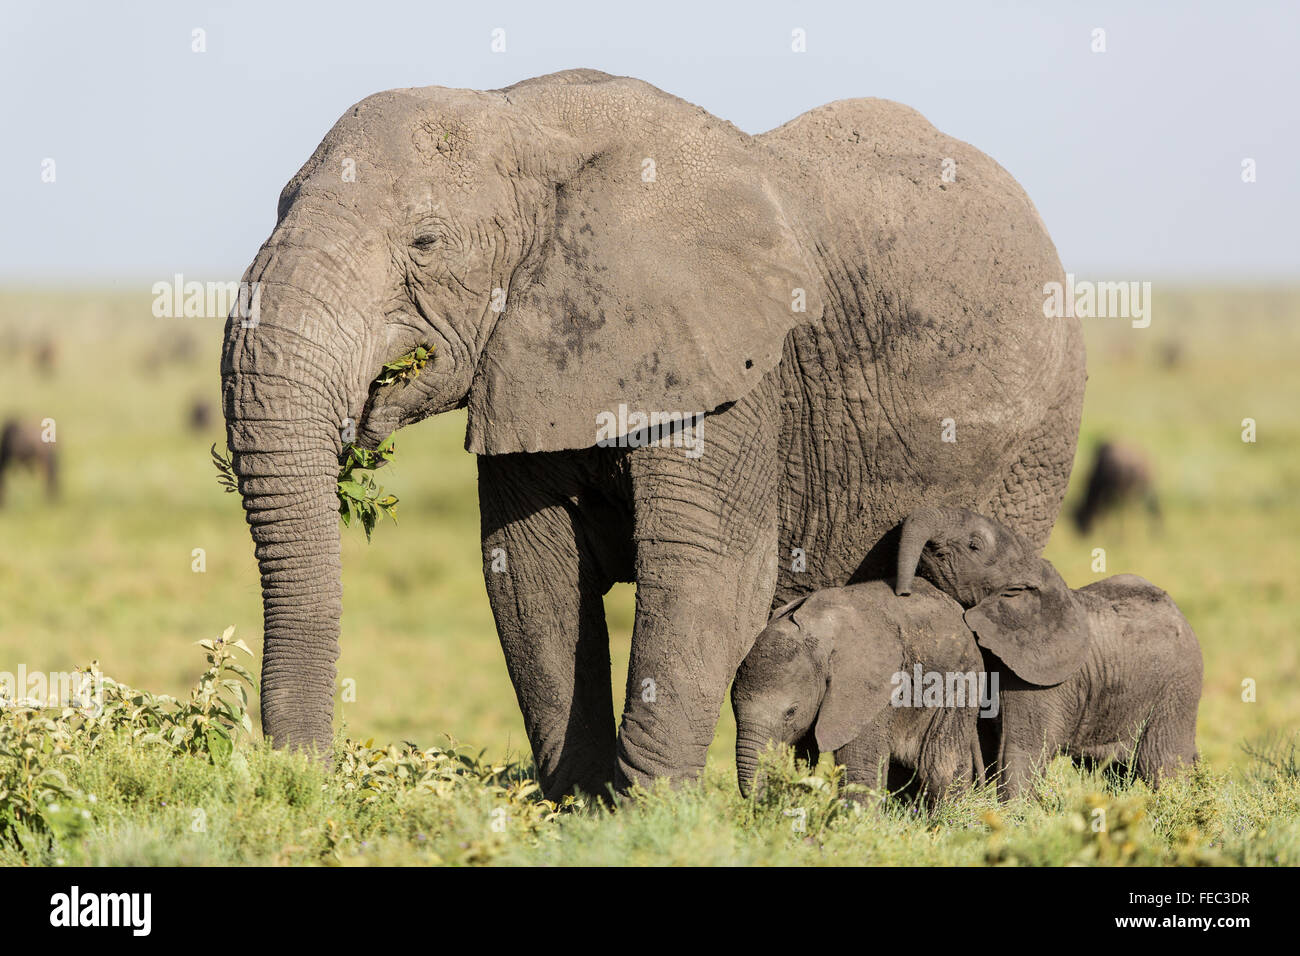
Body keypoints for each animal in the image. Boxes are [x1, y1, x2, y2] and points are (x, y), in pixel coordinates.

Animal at [732, 578, 987, 807]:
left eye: (791, 712)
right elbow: (805, 756)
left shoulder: (870, 687)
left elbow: (857, 762)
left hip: (961, 681)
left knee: (940, 766)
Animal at [894, 506, 1202, 799]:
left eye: (974, 545)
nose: (903, 592)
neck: (1030, 571)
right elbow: (988, 744)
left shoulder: (1040, 684)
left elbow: (1020, 749)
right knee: (1114, 773)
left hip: (1177, 692)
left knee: (1164, 765)